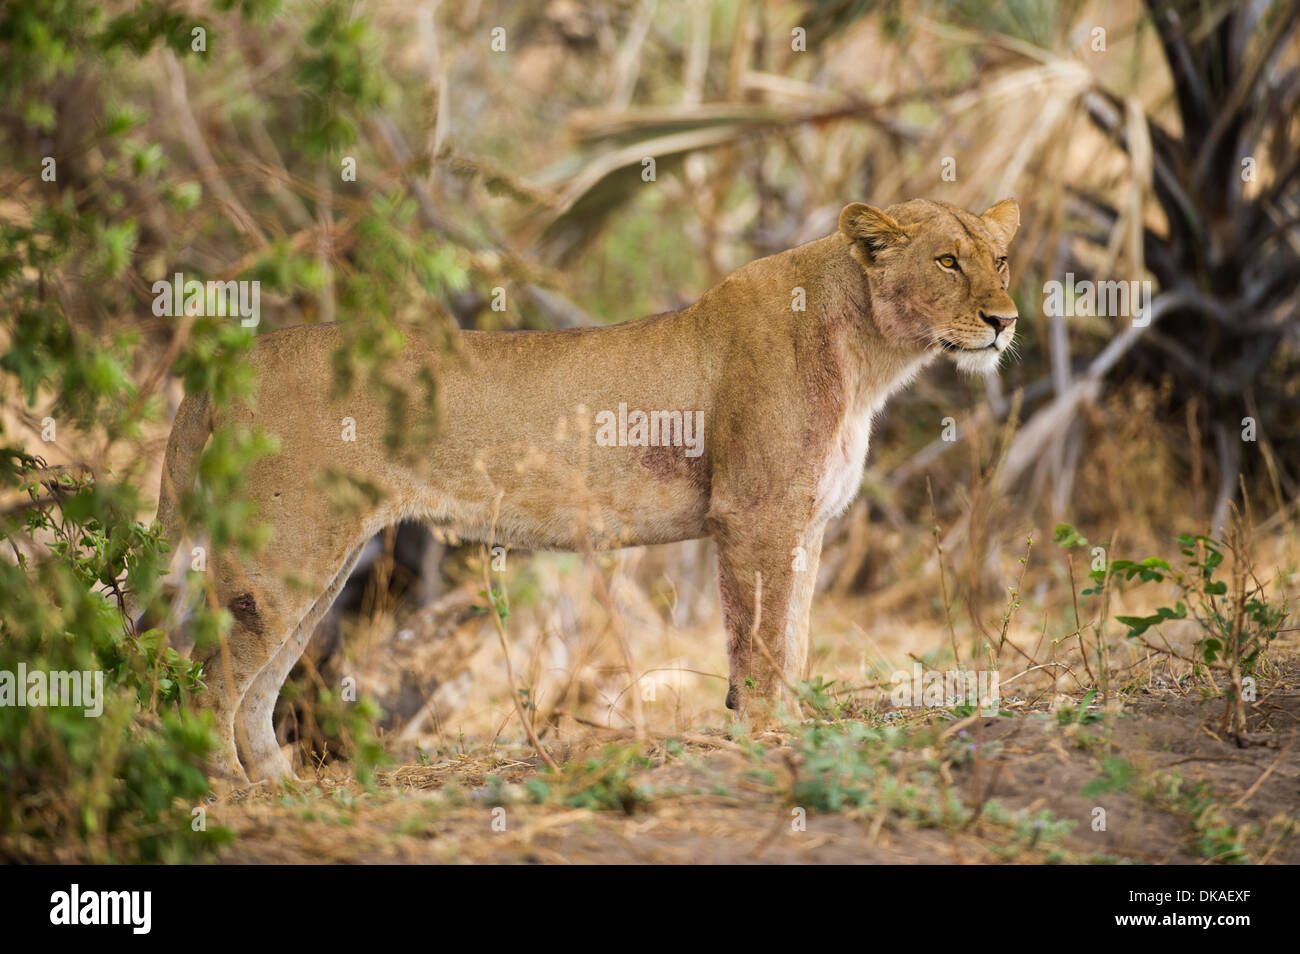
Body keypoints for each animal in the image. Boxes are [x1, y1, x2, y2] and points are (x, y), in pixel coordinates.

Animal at [152, 196, 1020, 786]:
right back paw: (225, 791)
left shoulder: (806, 527)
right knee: (207, 677)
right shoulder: (753, 517)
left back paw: (281, 786)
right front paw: (766, 739)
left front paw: (798, 729)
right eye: (946, 261)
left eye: (1000, 260)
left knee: (260, 678)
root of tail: (234, 356)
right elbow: (760, 646)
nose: (1005, 321)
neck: (870, 356)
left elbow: (797, 640)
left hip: (315, 565)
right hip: (284, 556)